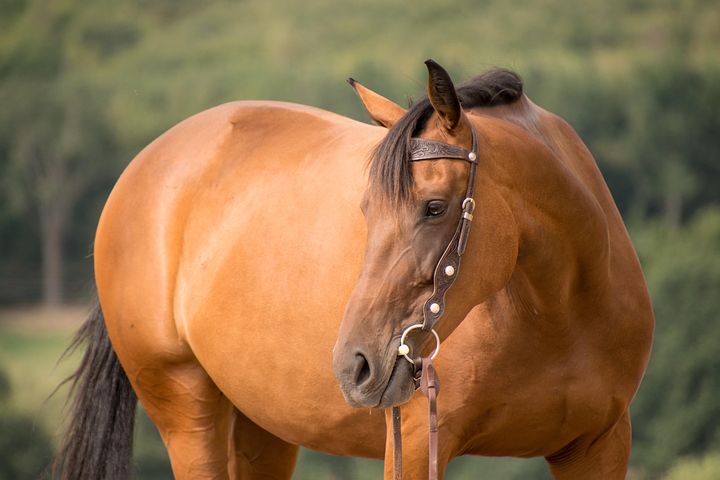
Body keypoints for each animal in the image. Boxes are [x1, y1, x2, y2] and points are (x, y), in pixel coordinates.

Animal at [54, 60, 654, 479]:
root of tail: (144, 166)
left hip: (264, 425)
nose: (355, 365)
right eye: (366, 209)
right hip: (184, 404)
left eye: (434, 207)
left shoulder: (598, 447)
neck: (557, 313)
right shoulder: (417, 443)